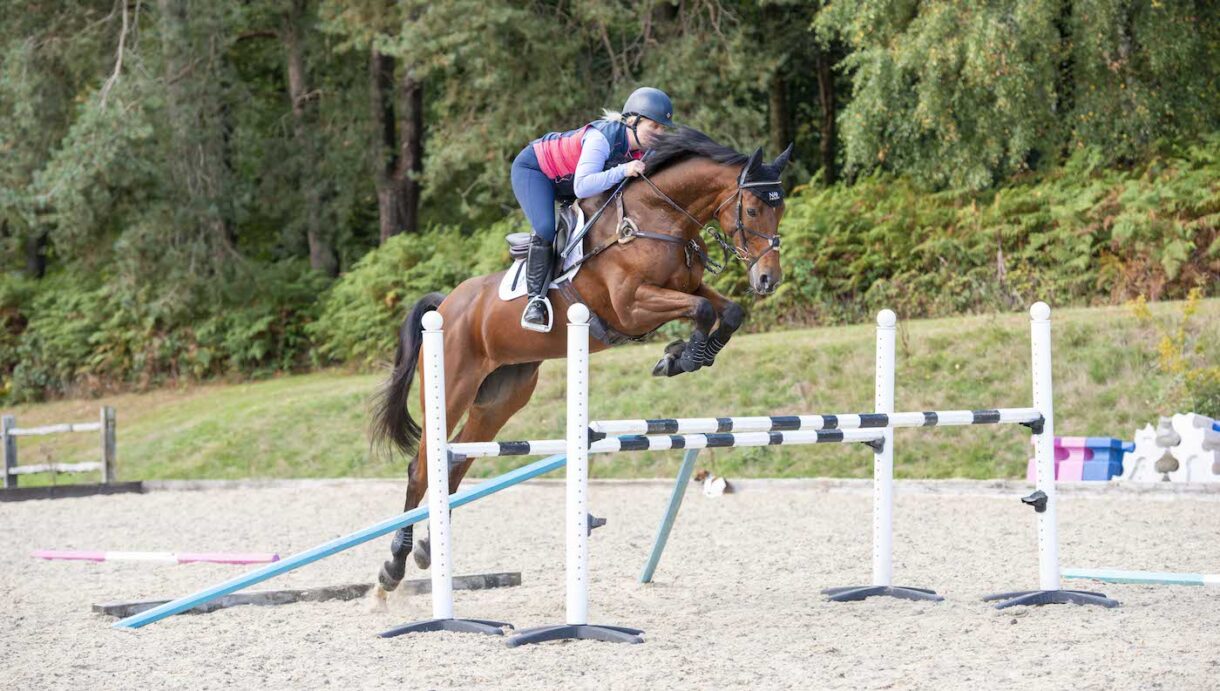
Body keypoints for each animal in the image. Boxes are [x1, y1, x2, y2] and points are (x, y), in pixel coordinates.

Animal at [369, 127, 792, 599]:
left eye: (781, 208)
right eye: (753, 208)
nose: (768, 279)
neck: (659, 218)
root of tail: (446, 306)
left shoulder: (687, 285)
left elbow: (727, 310)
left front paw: (684, 356)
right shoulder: (632, 307)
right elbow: (701, 310)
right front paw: (680, 356)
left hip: (499, 401)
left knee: (455, 462)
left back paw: (428, 548)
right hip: (451, 388)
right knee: (421, 468)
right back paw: (394, 566)